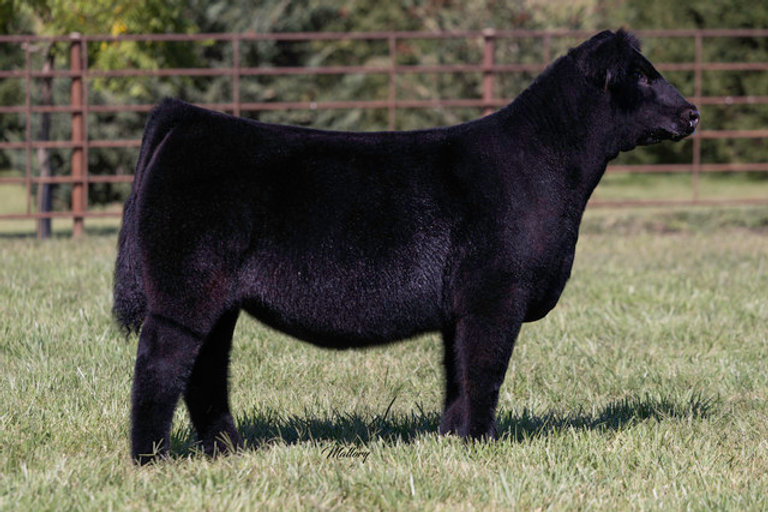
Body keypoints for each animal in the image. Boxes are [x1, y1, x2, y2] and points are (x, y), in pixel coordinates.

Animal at [113, 29, 699, 464]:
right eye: (641, 76)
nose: (692, 112)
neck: (544, 167)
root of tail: (189, 117)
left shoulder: (460, 307)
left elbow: (457, 375)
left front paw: (452, 441)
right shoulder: (494, 296)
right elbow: (485, 370)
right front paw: (483, 444)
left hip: (217, 300)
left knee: (206, 368)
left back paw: (228, 450)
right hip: (184, 290)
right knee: (160, 361)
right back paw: (151, 459)